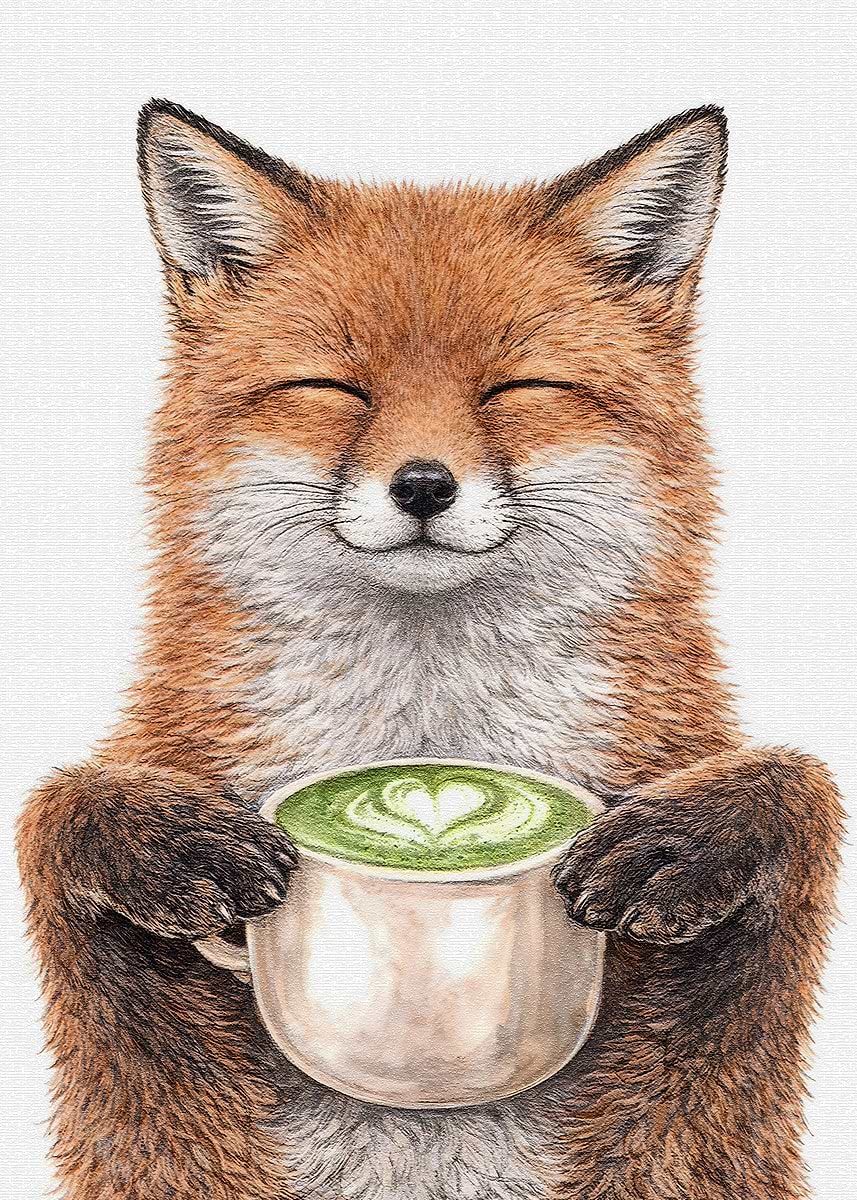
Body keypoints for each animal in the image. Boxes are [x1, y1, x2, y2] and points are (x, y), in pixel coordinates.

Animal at [17, 100, 843, 1200]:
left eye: (514, 388)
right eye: (334, 388)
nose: (421, 485)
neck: (426, 733)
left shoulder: (711, 1122)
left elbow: (799, 787)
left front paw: (685, 844)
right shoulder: (141, 1116)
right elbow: (56, 809)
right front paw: (159, 842)